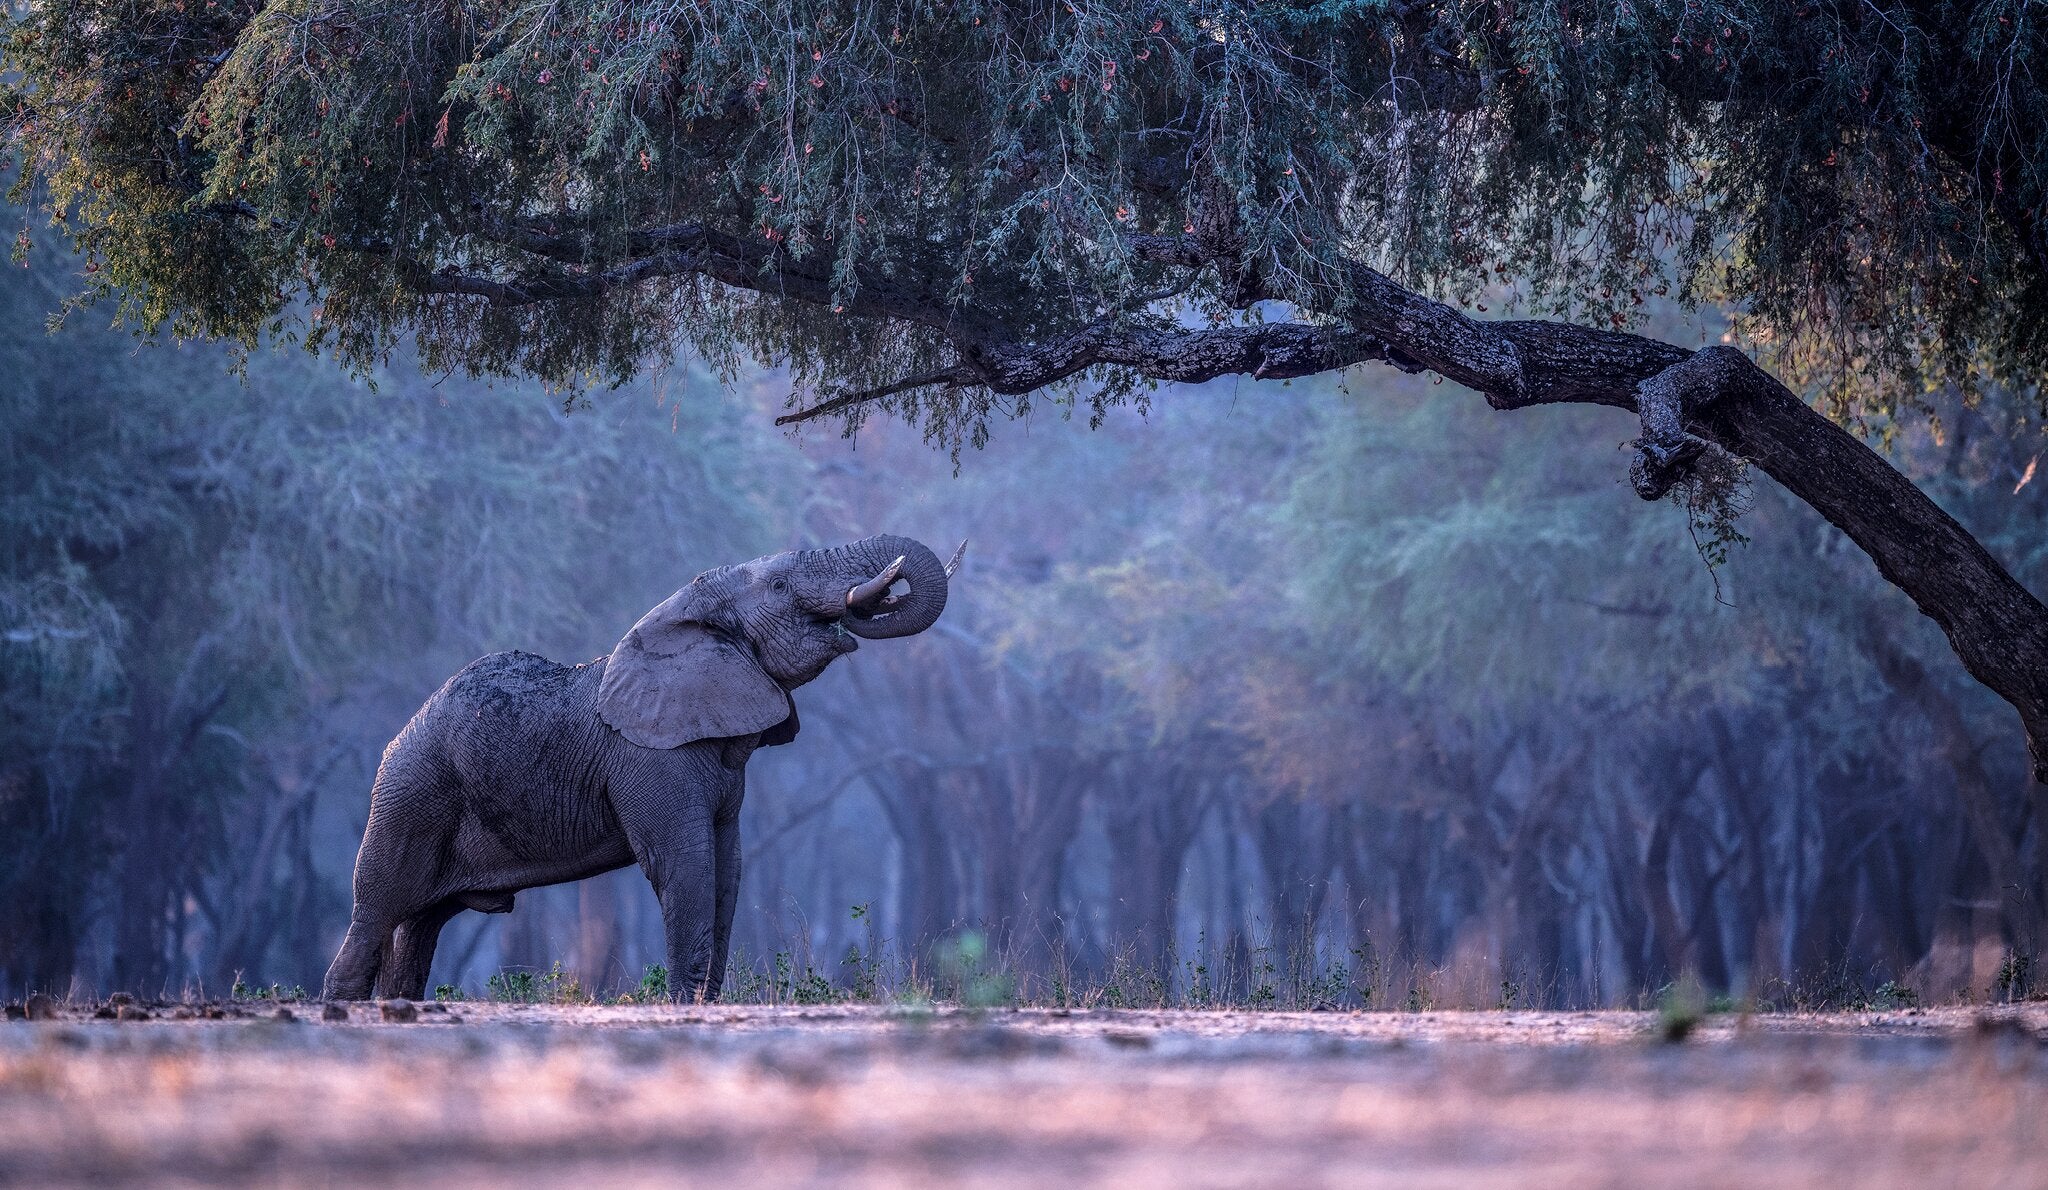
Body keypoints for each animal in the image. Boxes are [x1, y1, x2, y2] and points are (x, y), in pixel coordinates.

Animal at [321, 534, 959, 1003]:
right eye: (779, 585)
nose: (860, 608)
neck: (679, 619)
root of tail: (397, 738)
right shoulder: (653, 761)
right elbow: (686, 864)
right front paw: (685, 1005)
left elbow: (726, 865)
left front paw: (703, 1002)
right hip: (411, 793)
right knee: (378, 907)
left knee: (418, 926)